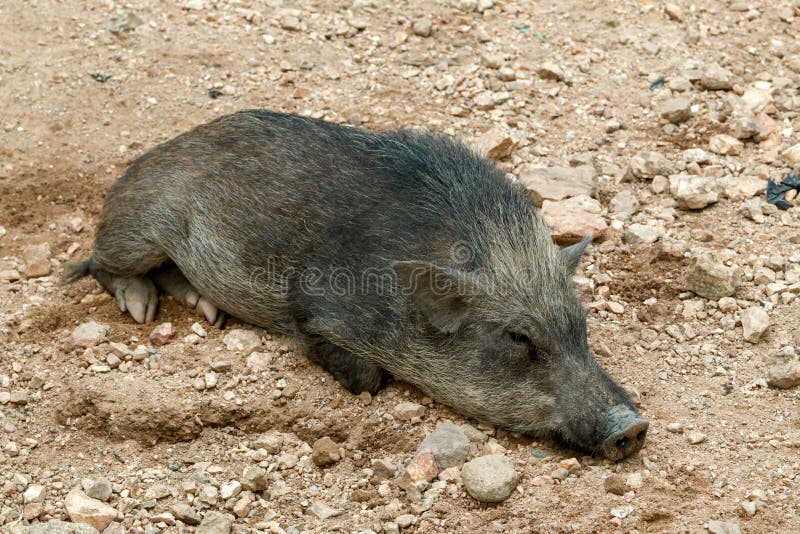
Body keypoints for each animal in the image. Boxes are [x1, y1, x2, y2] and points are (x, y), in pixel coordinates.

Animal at [65, 110, 648, 461]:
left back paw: (205, 308)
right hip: (138, 227)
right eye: (518, 338)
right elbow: (368, 377)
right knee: (101, 263)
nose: (633, 426)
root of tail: (153, 155)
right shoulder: (315, 311)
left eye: (581, 326)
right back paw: (142, 308)